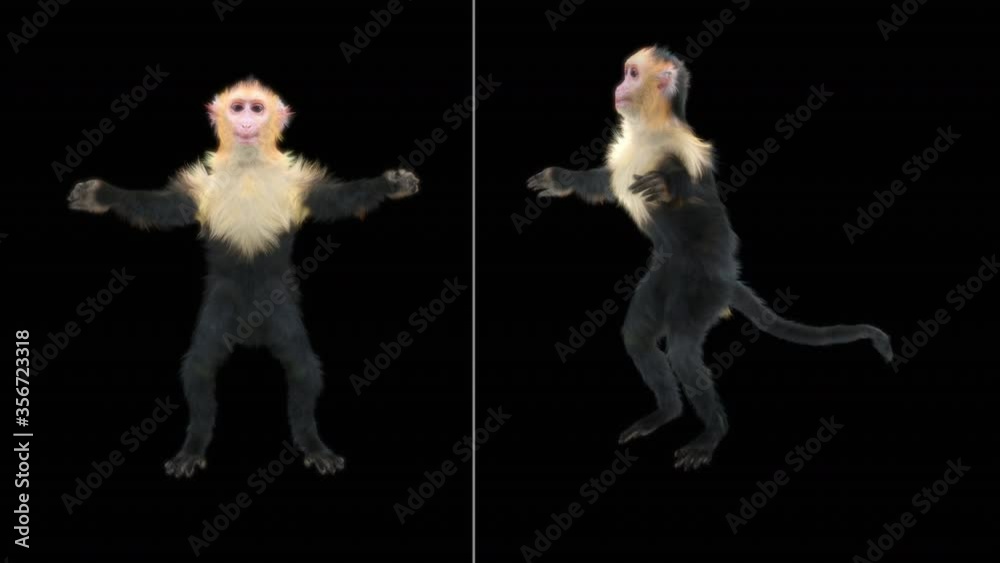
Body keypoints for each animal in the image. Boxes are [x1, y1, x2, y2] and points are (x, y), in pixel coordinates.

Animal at [68, 78, 420, 478]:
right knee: (201, 367)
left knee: (302, 368)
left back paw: (313, 444)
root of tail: (252, 335)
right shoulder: (201, 185)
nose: (247, 122)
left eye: (257, 108)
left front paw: (390, 185)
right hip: (223, 303)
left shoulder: (296, 181)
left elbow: (334, 200)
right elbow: (167, 209)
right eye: (238, 108)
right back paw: (193, 447)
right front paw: (101, 195)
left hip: (278, 306)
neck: (249, 165)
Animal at [527, 46, 893, 471]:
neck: (649, 129)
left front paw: (667, 187)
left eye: (631, 74)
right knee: (639, 335)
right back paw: (666, 413)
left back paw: (711, 435)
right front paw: (560, 179)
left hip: (701, 290)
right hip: (665, 276)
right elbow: (604, 182)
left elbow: (690, 193)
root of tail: (723, 277)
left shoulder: (684, 151)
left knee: (684, 350)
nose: (618, 86)